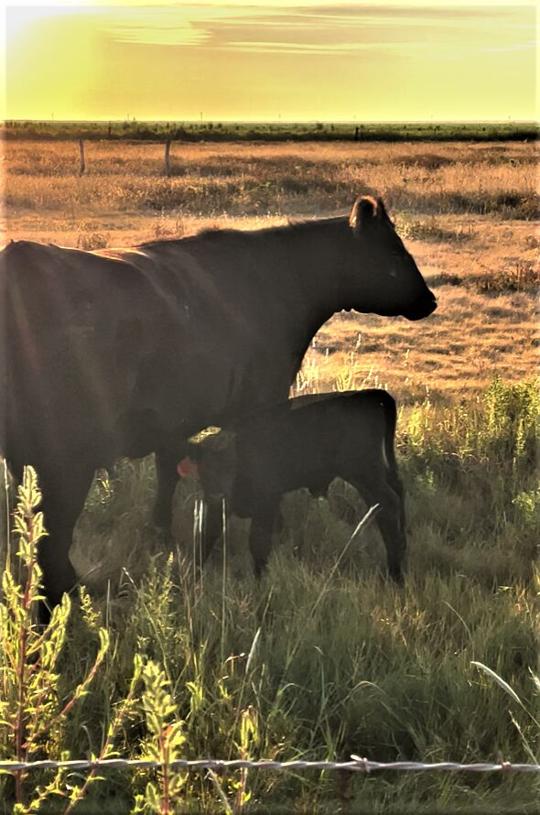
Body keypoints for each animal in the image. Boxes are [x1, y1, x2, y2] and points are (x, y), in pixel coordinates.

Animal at [178, 389, 406, 581]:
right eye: (203, 467)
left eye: (231, 465)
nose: (218, 493)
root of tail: (370, 394)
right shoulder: (216, 508)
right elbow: (205, 540)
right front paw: (193, 582)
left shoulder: (267, 503)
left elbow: (258, 544)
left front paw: (260, 582)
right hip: (381, 472)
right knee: (398, 494)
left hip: (364, 474)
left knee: (388, 504)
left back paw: (395, 575)